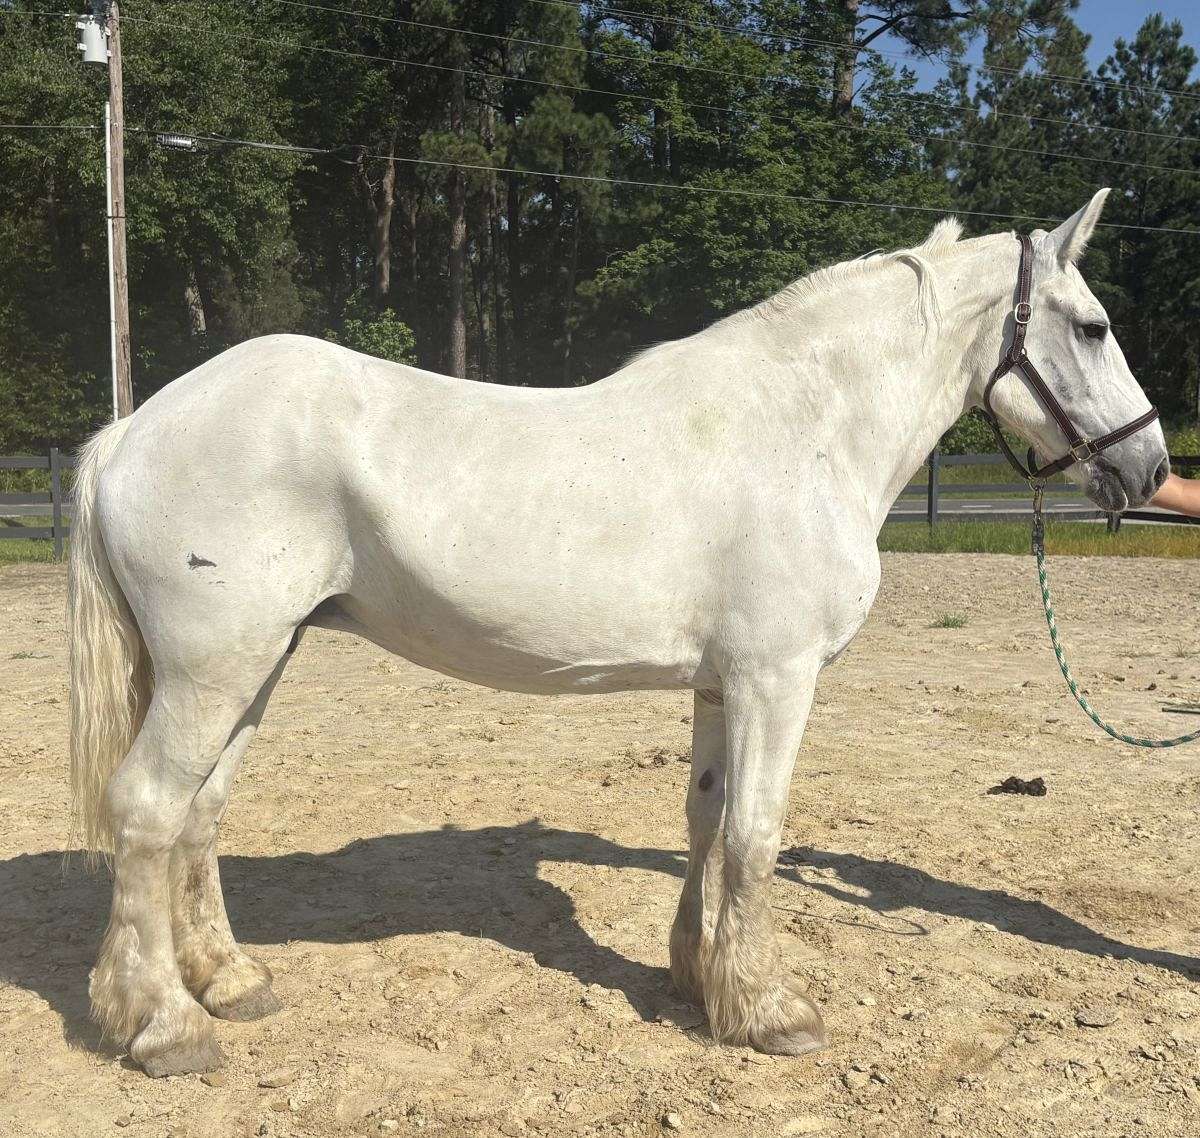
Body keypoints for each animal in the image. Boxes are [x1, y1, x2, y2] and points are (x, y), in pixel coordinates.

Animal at [67, 189, 1168, 1077]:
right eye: (1094, 325)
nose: (1151, 467)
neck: (802, 431)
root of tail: (133, 431)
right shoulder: (778, 679)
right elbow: (758, 834)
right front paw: (771, 1011)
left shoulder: (724, 684)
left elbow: (706, 822)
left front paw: (698, 977)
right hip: (216, 670)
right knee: (148, 809)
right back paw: (164, 1027)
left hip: (256, 664)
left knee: (200, 813)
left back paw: (231, 982)